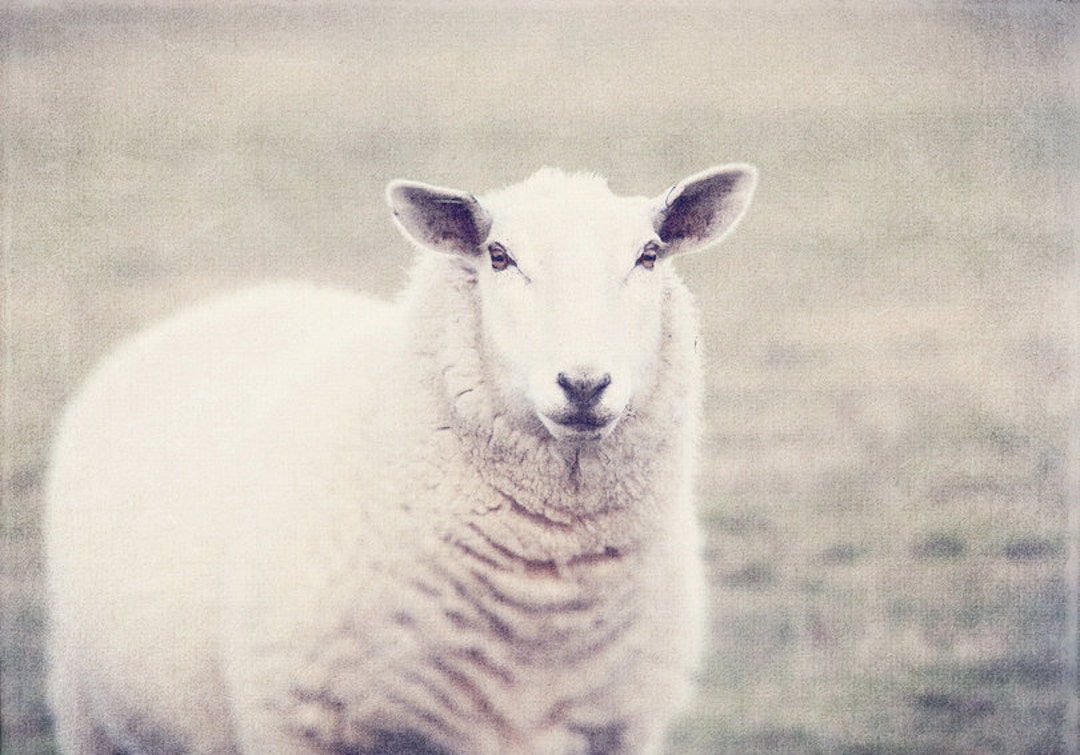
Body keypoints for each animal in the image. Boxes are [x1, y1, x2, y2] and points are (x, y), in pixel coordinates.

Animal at [45, 163, 758, 755]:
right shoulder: (298, 725)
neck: (544, 602)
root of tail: (236, 299)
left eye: (648, 255)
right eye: (499, 256)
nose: (584, 384)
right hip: (86, 704)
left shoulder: (619, 728)